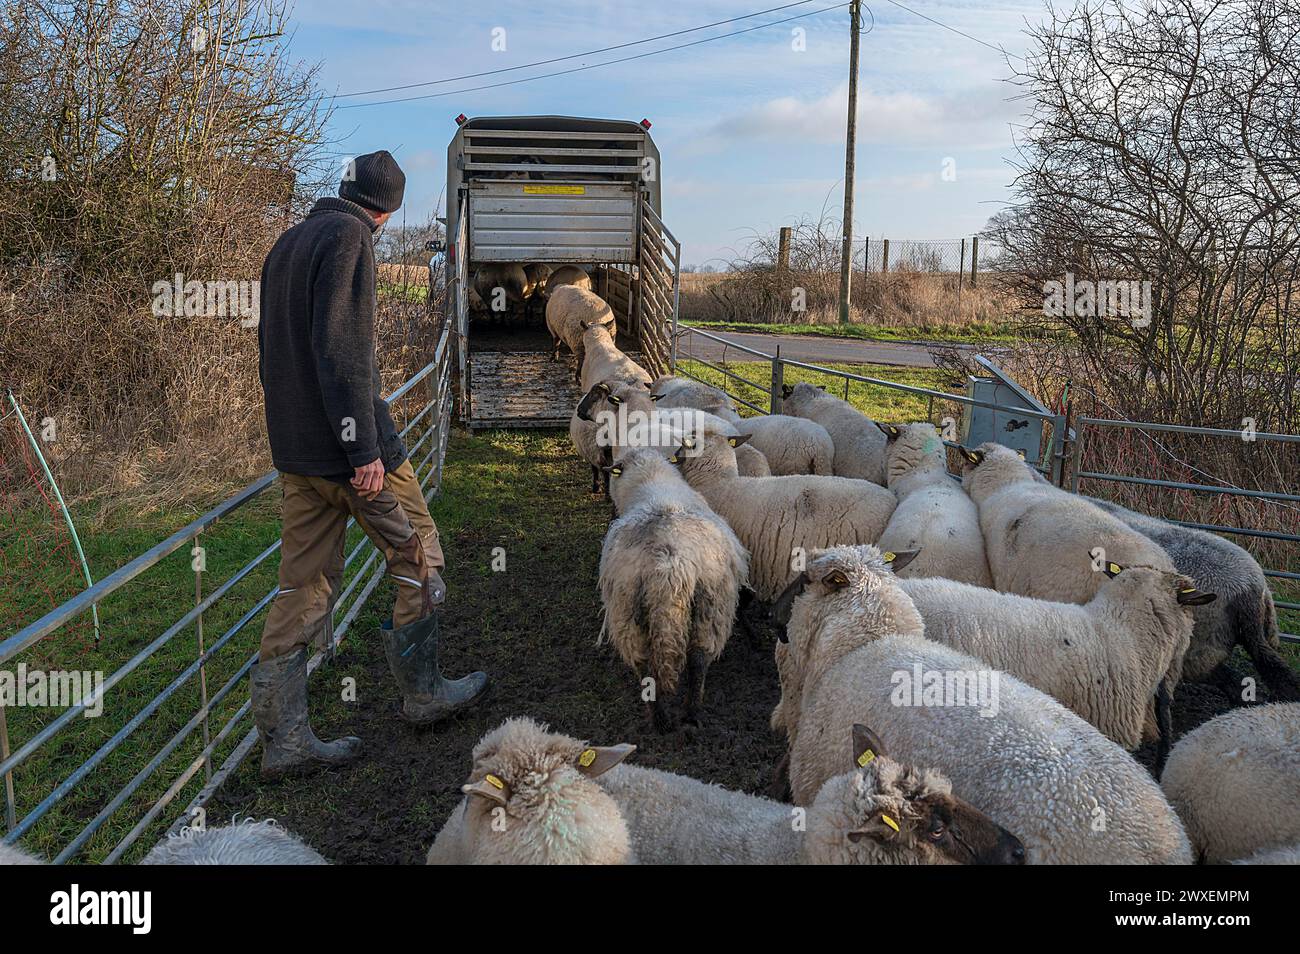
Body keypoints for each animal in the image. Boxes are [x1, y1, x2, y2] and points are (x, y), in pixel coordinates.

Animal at [600, 448, 749, 730]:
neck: (653, 481)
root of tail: (670, 565)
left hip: (631, 607)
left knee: (649, 665)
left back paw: (664, 718)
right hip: (708, 605)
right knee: (695, 660)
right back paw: (687, 713)